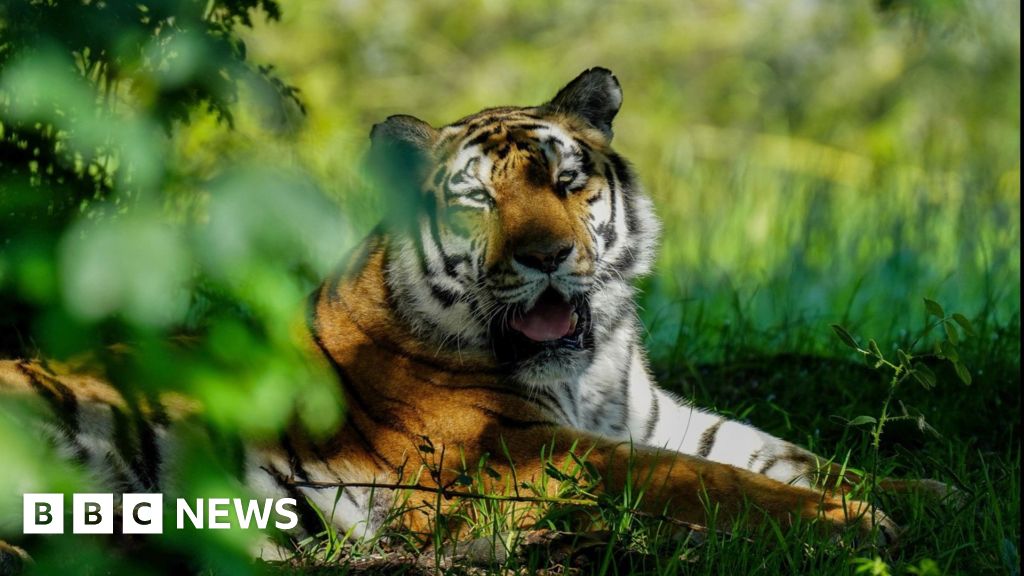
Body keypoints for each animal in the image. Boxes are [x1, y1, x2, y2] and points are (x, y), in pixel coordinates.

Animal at [2, 68, 948, 569]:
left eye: (567, 181)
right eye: (478, 202)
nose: (546, 257)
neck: (592, 368)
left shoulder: (654, 415)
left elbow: (782, 454)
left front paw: (928, 491)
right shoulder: (508, 452)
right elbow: (695, 480)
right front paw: (854, 526)